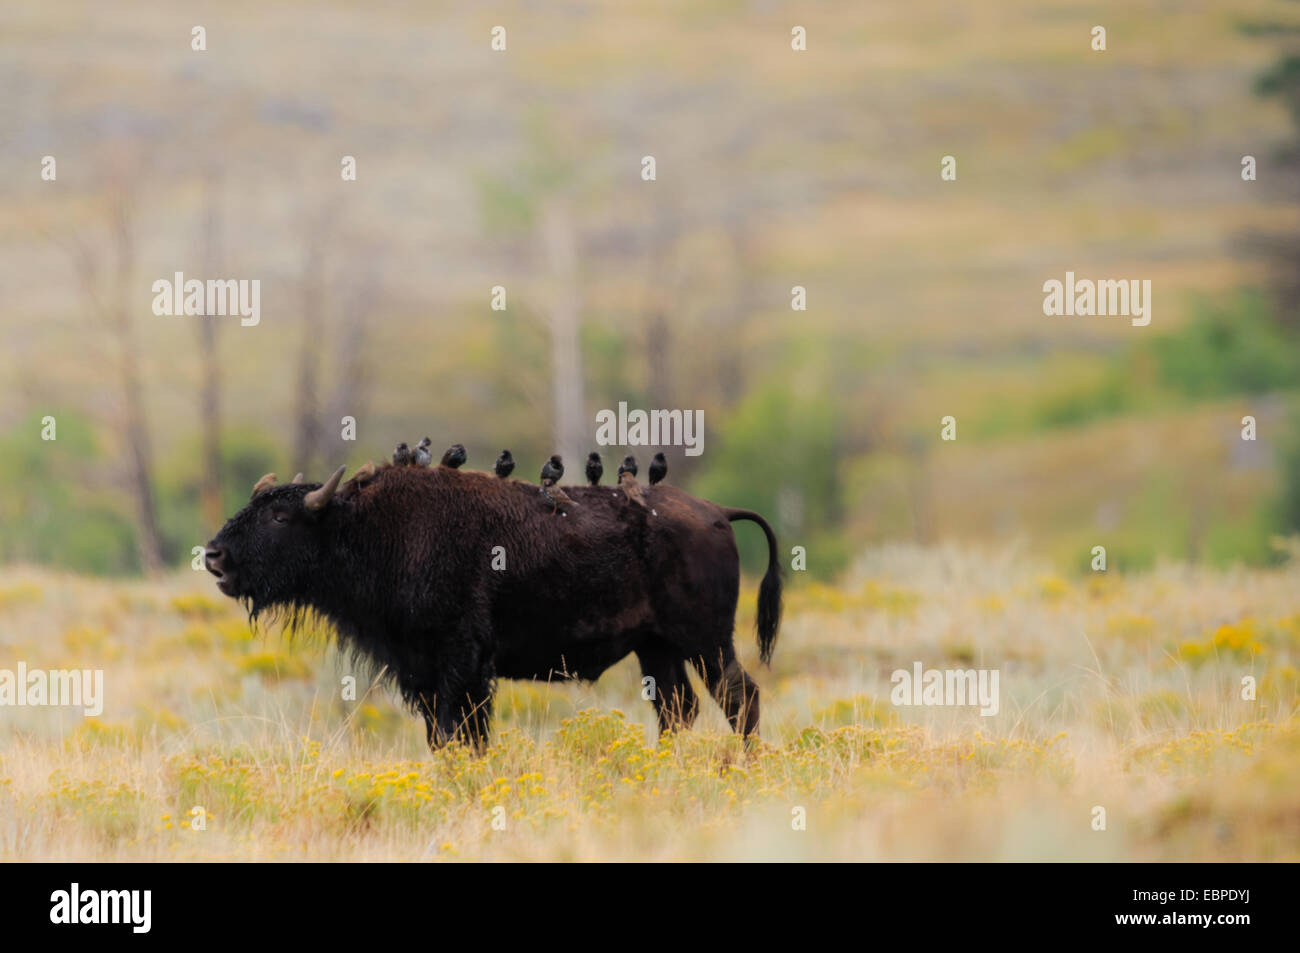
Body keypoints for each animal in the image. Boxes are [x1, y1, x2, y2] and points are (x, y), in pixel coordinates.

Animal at [204, 462, 782, 749]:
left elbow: (464, 732)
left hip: (706, 641)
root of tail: (717, 511)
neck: (365, 527)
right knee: (678, 709)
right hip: (656, 648)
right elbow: (445, 736)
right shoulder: (422, 672)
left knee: (740, 698)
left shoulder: (462, 664)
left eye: (281, 517)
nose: (214, 555)